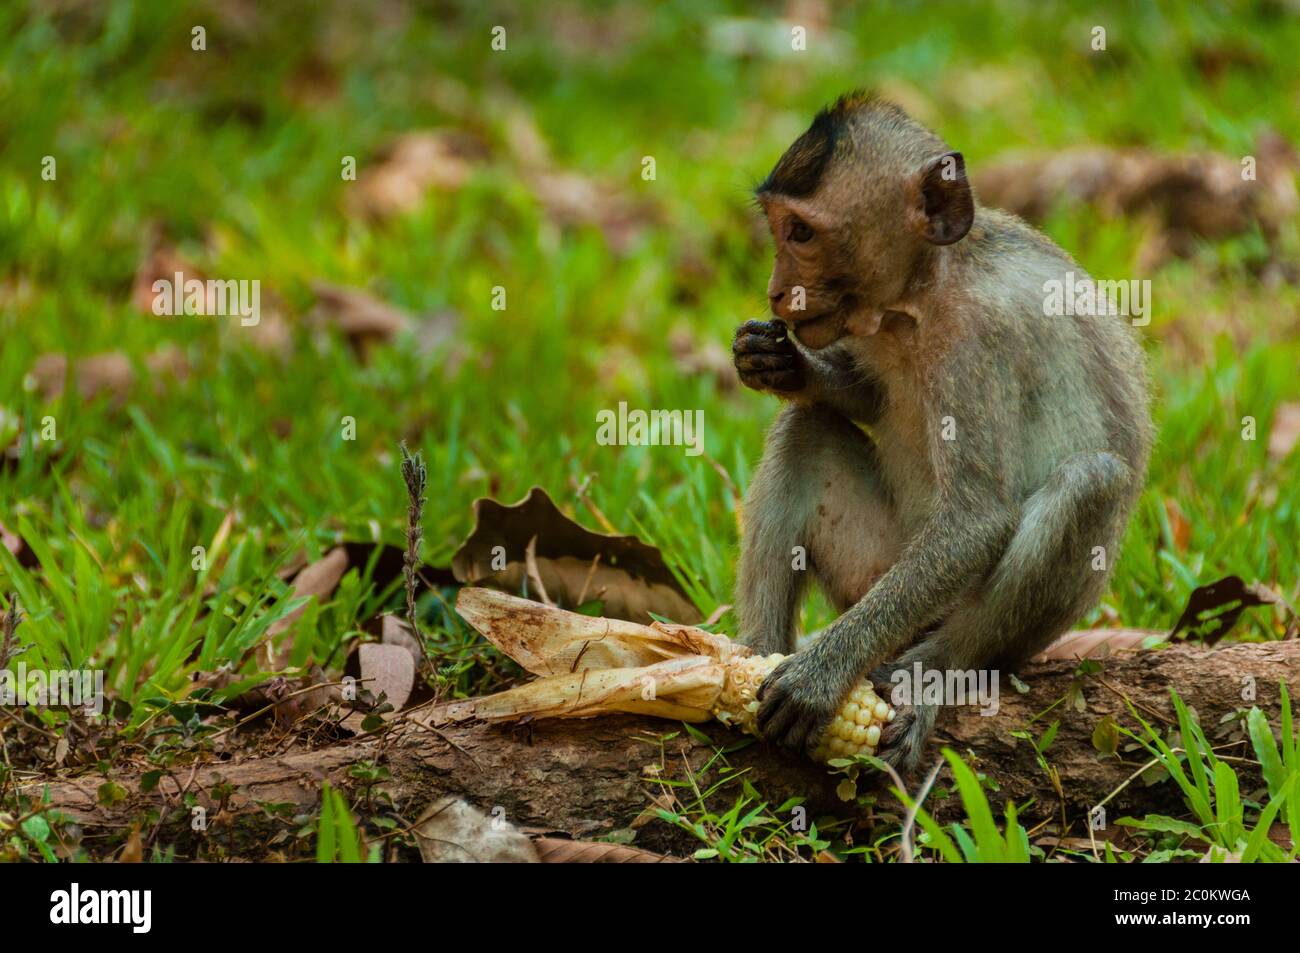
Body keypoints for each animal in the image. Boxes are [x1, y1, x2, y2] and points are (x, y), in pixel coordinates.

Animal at [731, 91, 1152, 771]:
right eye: (779, 228)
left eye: (802, 233)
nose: (775, 292)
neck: (924, 295)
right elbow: (865, 397)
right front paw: (781, 363)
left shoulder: (976, 341)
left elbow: (977, 520)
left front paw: (821, 675)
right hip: (873, 566)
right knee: (805, 428)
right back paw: (751, 651)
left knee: (1091, 480)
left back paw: (931, 671)